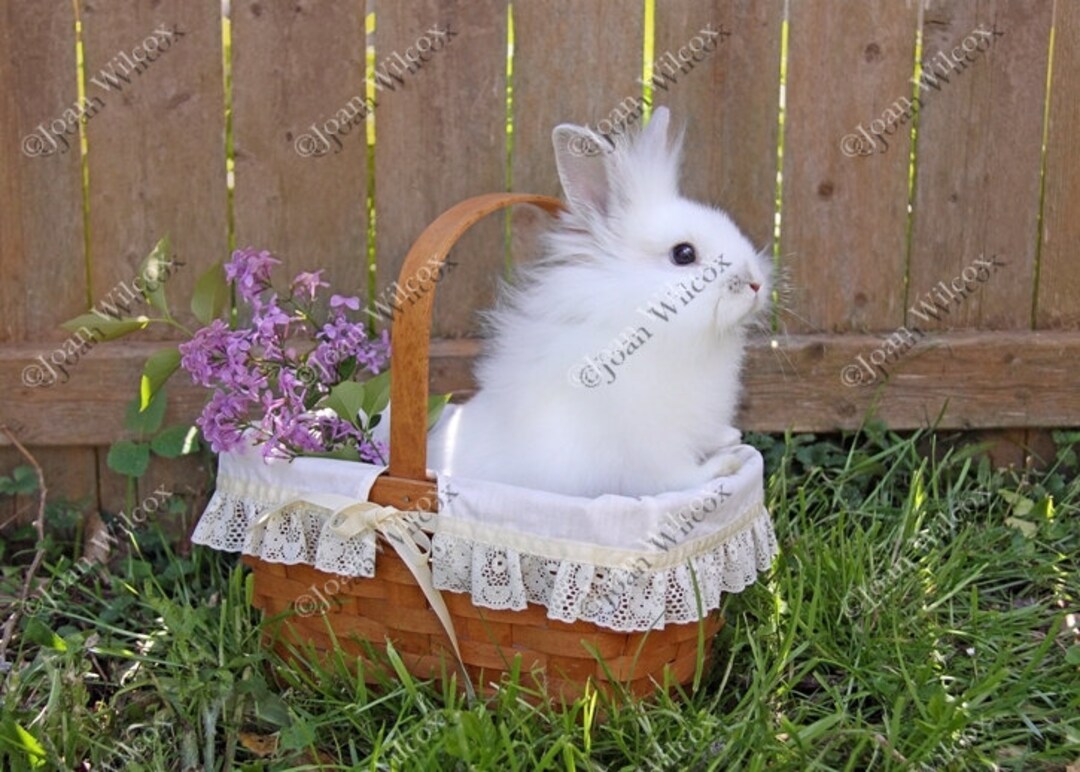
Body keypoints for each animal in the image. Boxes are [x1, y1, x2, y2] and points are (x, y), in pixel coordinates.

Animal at [428, 107, 770, 498]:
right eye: (683, 254)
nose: (756, 283)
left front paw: (730, 437)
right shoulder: (650, 447)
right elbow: (676, 478)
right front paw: (722, 467)